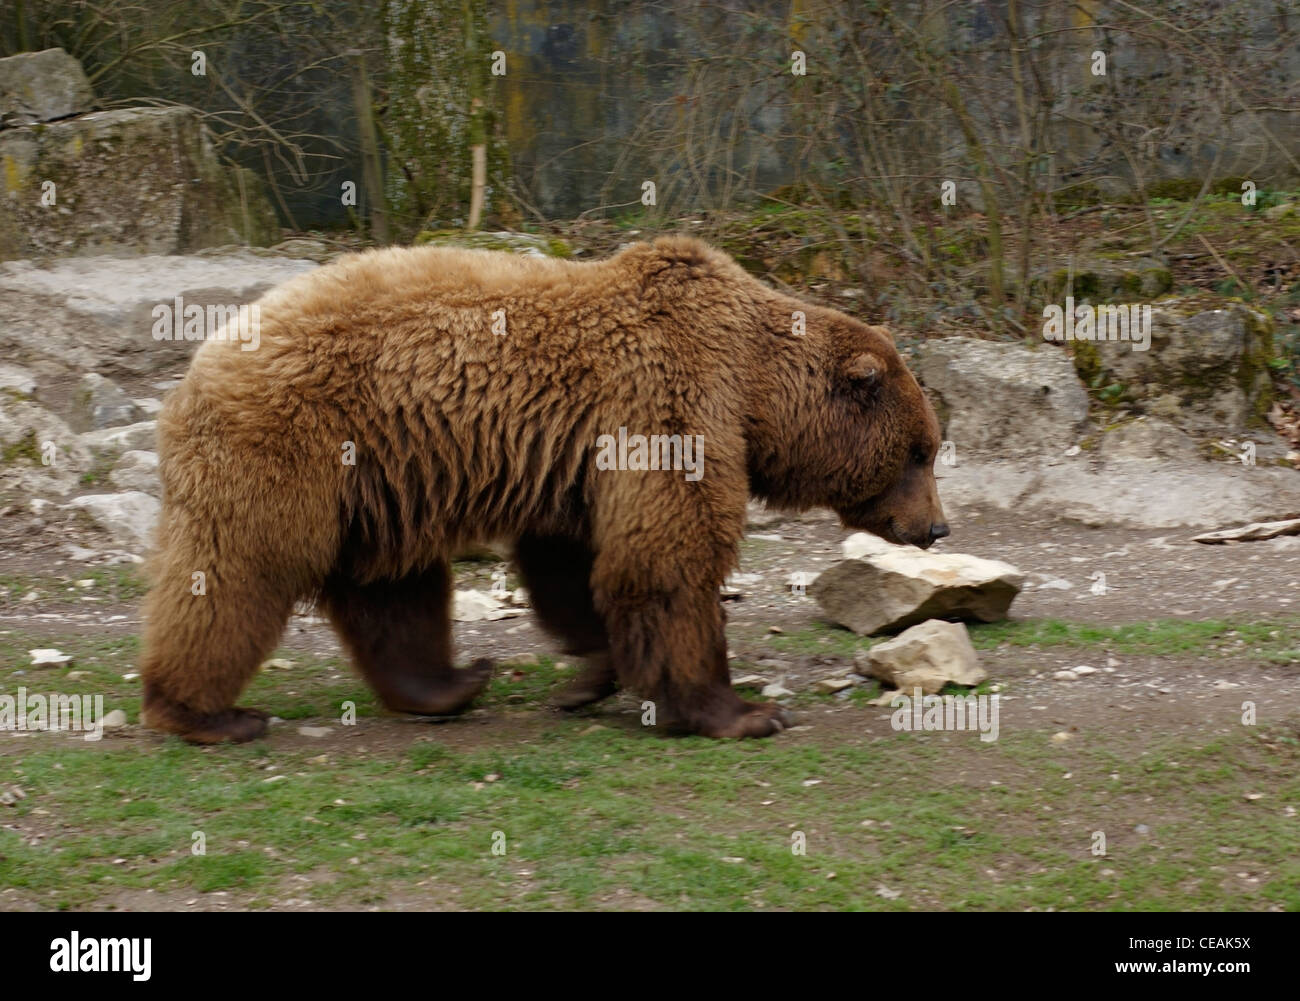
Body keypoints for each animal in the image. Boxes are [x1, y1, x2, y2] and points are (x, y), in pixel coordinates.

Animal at [139, 236, 947, 744]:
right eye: (921, 452)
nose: (936, 527)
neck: (752, 388)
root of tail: (199, 361)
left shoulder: (584, 460)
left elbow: (577, 562)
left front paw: (593, 674)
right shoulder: (671, 402)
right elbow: (669, 558)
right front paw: (739, 711)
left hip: (377, 477)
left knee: (390, 583)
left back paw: (451, 683)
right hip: (293, 442)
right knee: (240, 567)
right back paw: (204, 712)